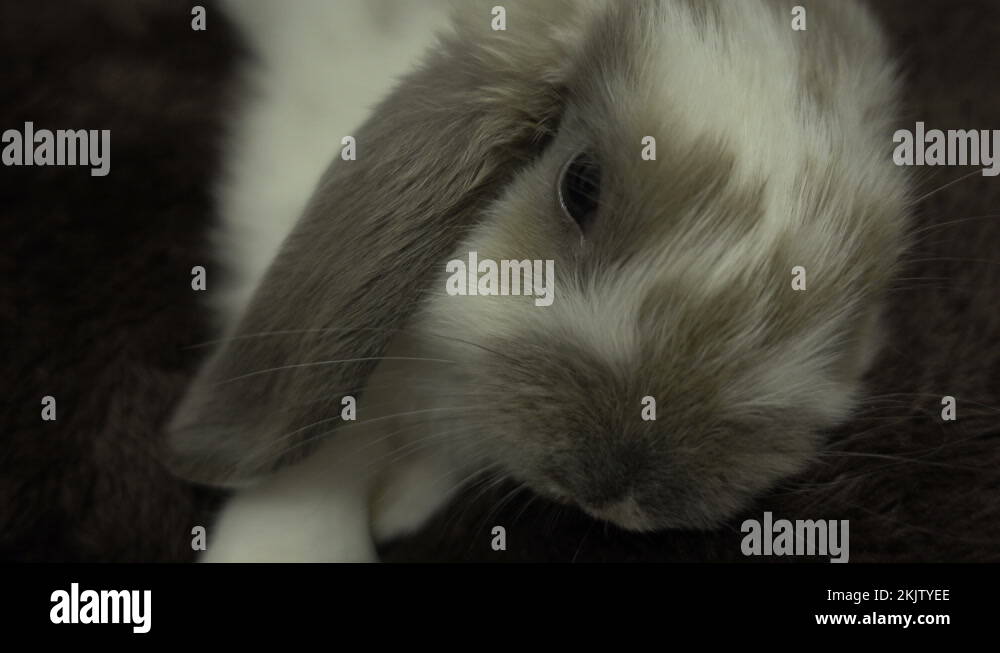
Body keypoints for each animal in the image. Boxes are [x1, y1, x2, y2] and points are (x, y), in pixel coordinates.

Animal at [166, 0, 912, 561]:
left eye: (856, 308)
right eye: (580, 185)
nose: (618, 488)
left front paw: (403, 502)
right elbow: (332, 442)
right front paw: (287, 543)